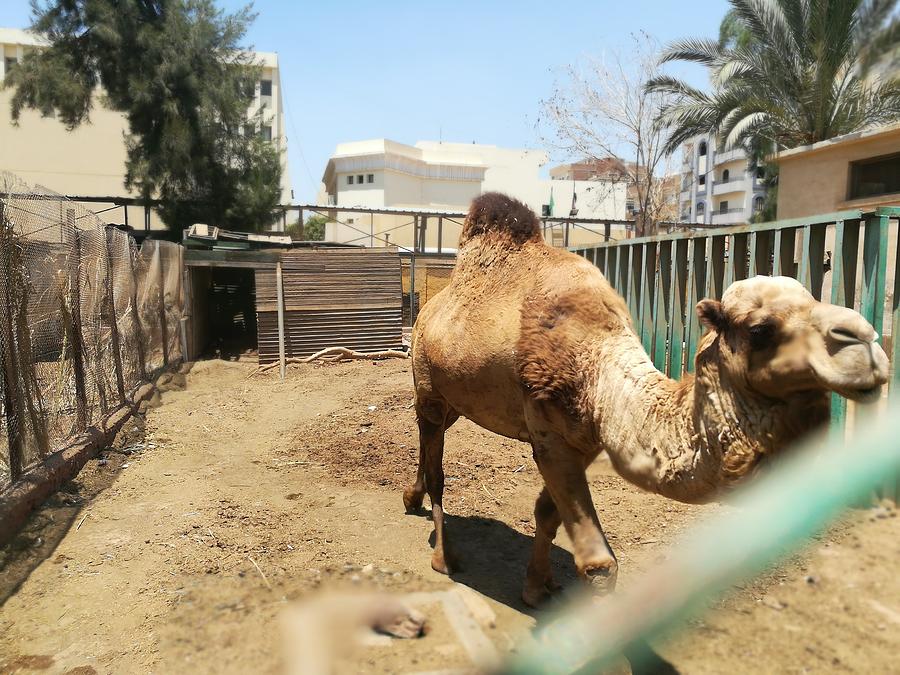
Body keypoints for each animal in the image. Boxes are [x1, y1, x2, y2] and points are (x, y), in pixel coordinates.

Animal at [405, 192, 889, 608]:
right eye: (760, 329)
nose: (866, 343)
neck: (597, 362)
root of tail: (430, 308)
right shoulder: (548, 435)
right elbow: (600, 566)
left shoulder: (584, 438)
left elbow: (546, 513)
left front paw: (537, 587)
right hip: (427, 382)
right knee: (436, 461)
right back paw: (443, 557)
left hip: (455, 400)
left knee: (431, 441)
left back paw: (412, 499)